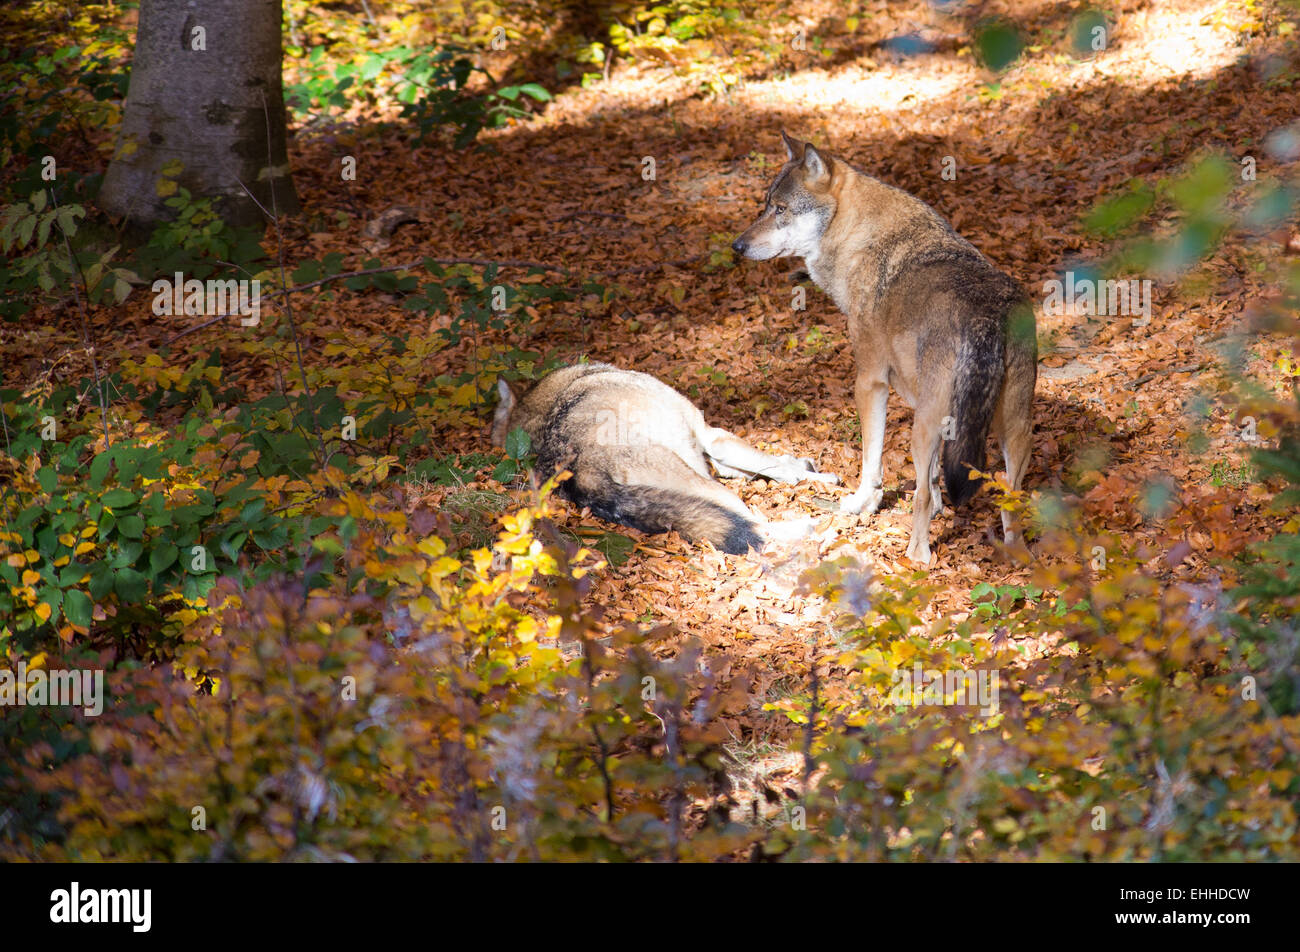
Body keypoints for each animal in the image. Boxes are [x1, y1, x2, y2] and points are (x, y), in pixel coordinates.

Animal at [491, 362, 838, 554]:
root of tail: (582, 473)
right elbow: (777, 466)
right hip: (708, 488)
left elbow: (768, 467)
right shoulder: (709, 433)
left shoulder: (716, 458)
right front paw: (821, 478)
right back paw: (818, 526)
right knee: (758, 529)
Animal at [732, 132, 1037, 564]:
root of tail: (986, 317)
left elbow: (873, 459)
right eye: (765, 205)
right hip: (1013, 428)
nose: (737, 246)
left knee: (920, 498)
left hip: (926, 426)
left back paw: (916, 557)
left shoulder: (870, 381)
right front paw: (940, 505)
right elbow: (935, 479)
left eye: (780, 210)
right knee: (1010, 501)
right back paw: (1017, 559)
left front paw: (862, 503)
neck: (857, 236)